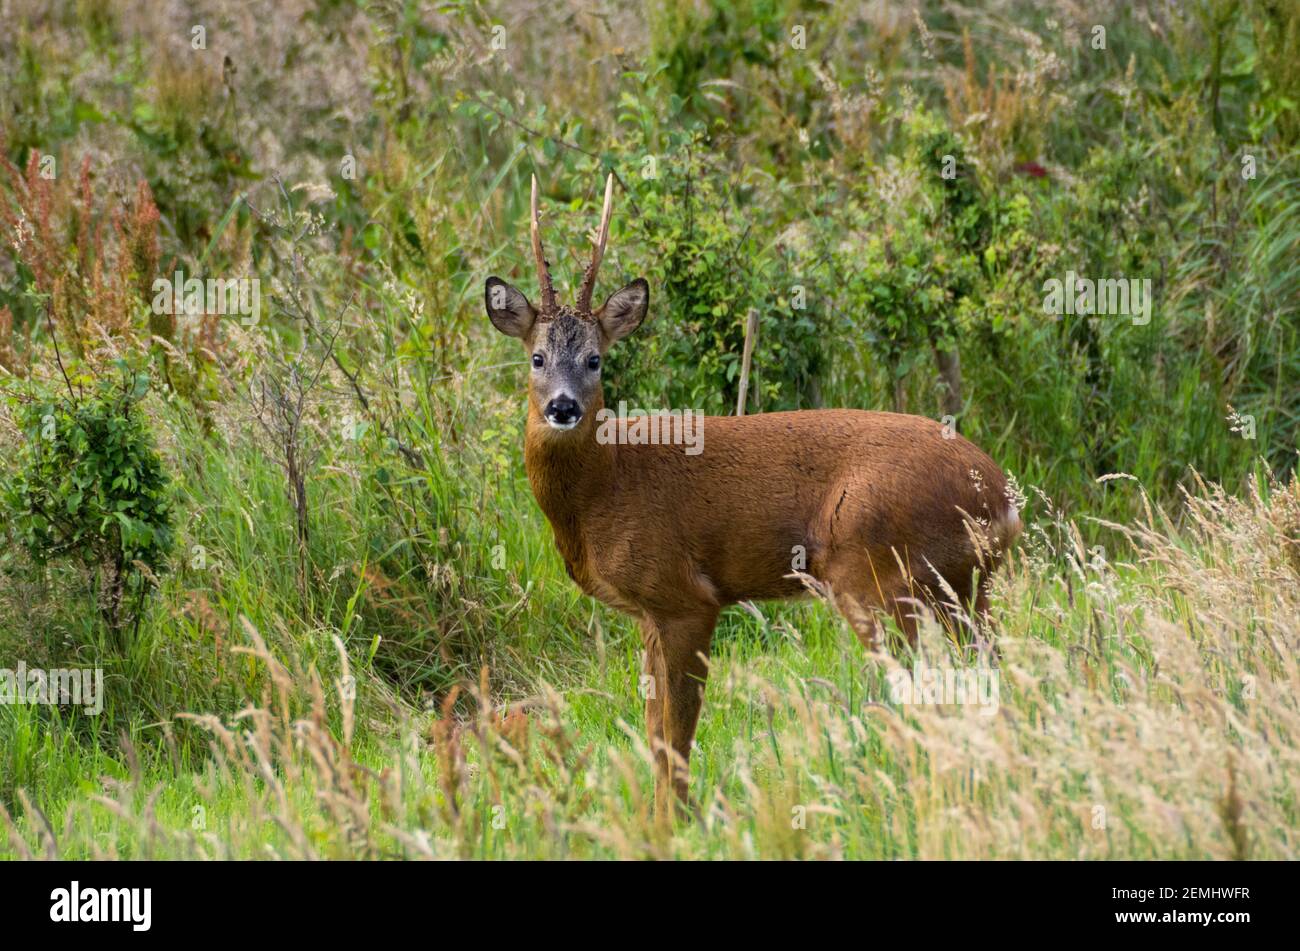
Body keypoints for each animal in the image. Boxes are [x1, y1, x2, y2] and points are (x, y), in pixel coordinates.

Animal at [485, 174, 1022, 820]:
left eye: (595, 359)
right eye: (536, 357)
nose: (562, 407)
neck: (605, 489)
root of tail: (1000, 494)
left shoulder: (684, 596)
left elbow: (676, 731)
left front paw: (676, 823)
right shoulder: (647, 613)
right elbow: (654, 728)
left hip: (877, 574)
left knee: (925, 690)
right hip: (964, 586)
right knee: (991, 675)